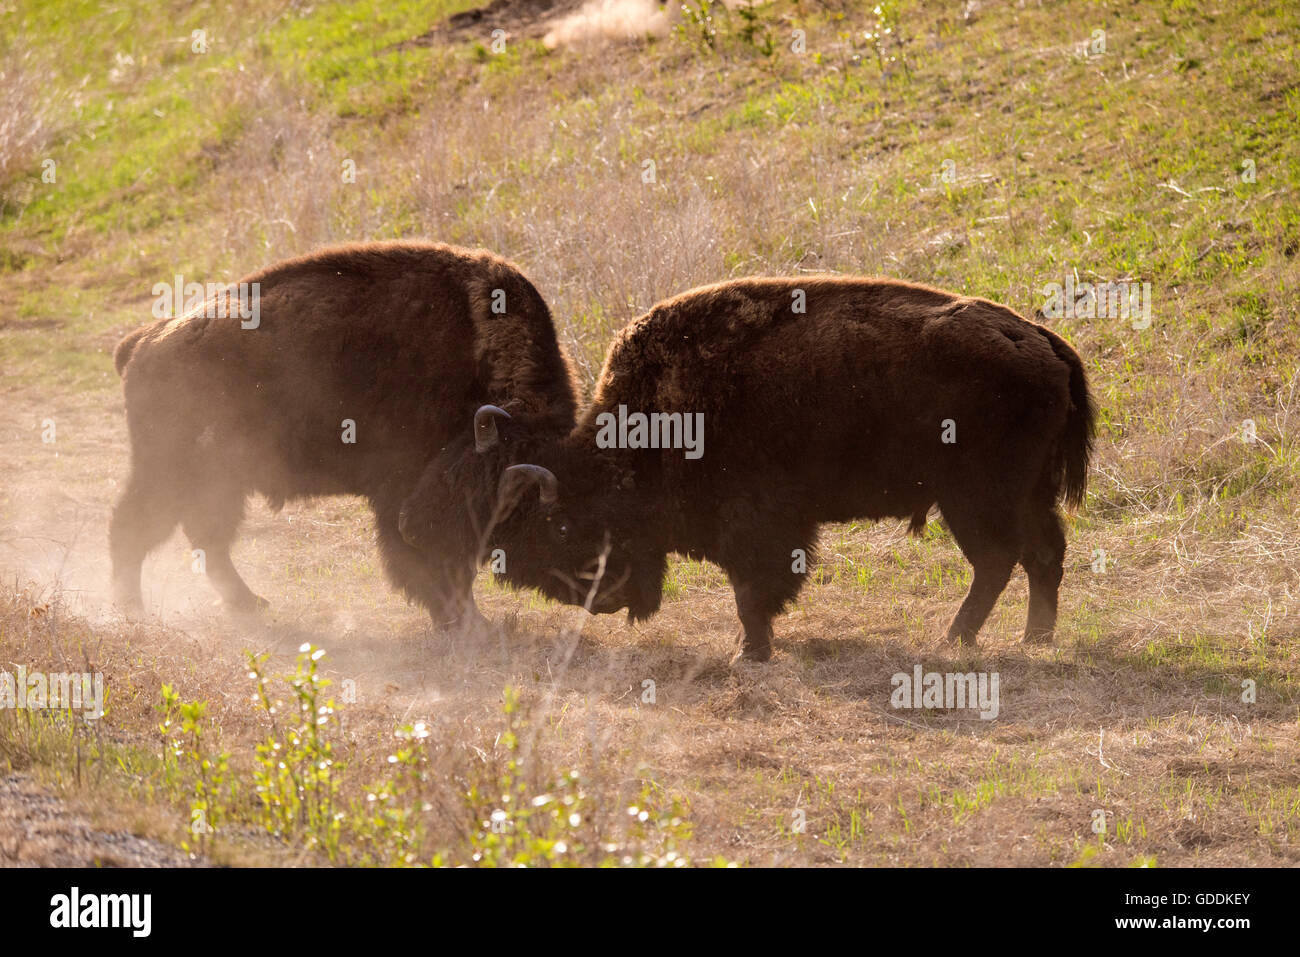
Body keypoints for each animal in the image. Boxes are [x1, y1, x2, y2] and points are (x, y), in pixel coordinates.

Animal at [111, 240, 578, 627]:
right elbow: (432, 566)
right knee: (135, 527)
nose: (415, 526)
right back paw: (132, 610)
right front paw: (466, 622)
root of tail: (146, 340)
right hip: (171, 472)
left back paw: (248, 603)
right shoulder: (402, 493)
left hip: (216, 480)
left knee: (204, 538)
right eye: (557, 525)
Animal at [444, 277, 1095, 661]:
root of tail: (1040, 338)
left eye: (560, 527)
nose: (601, 600)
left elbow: (752, 590)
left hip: (975, 497)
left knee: (998, 560)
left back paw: (956, 638)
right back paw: (1035, 639)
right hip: (1023, 494)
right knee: (1041, 555)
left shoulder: (758, 529)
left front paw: (748, 651)